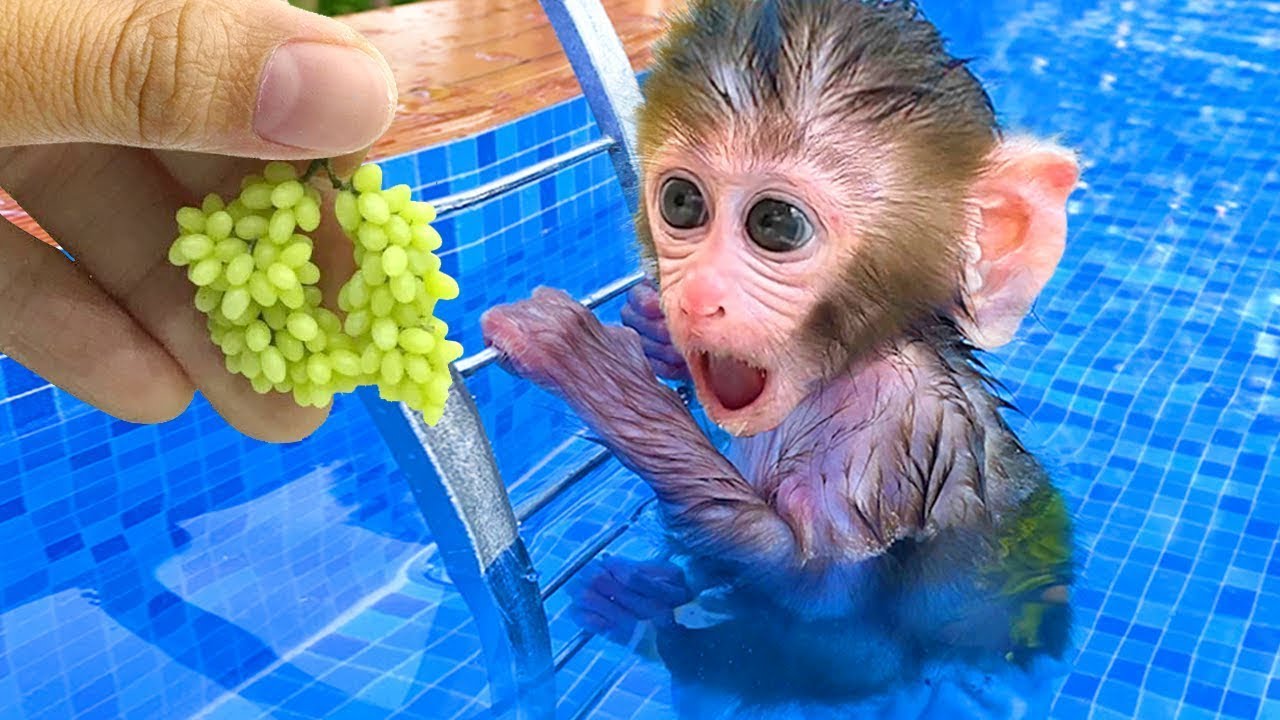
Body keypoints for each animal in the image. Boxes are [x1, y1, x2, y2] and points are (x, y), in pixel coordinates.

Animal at [480, 0, 1079, 716]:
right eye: (682, 203)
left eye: (776, 224)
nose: (696, 297)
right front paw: (651, 331)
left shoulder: (888, 436)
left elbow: (813, 586)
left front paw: (596, 368)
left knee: (860, 652)